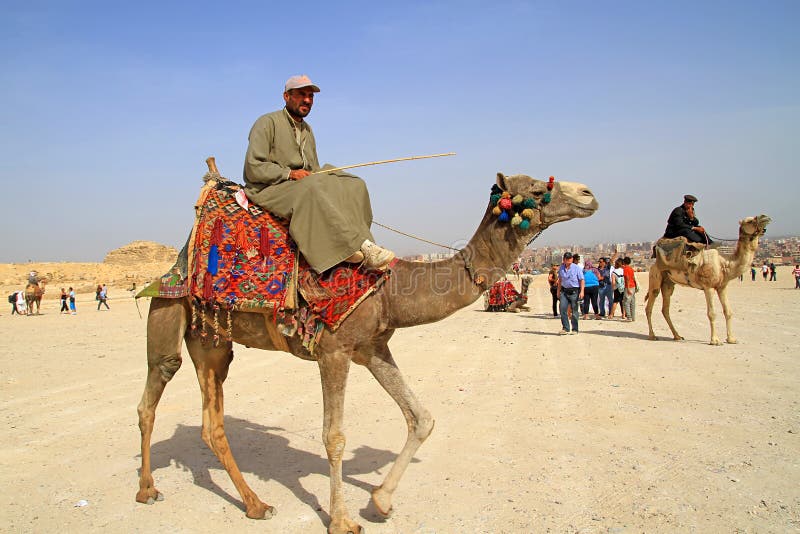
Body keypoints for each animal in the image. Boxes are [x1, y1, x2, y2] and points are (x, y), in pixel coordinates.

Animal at [135, 171, 598, 533]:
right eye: (537, 187)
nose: (588, 193)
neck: (390, 289)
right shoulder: (334, 351)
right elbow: (334, 437)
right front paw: (341, 520)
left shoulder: (373, 347)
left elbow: (421, 418)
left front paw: (380, 501)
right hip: (169, 310)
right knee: (152, 393)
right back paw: (147, 489)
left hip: (214, 342)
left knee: (212, 423)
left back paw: (256, 505)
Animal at [645, 214, 770, 346]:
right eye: (750, 221)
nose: (765, 218)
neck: (724, 263)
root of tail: (653, 263)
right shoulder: (708, 286)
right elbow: (712, 313)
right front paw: (715, 340)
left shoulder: (722, 287)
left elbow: (728, 312)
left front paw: (731, 339)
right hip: (655, 275)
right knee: (650, 305)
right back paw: (652, 335)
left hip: (668, 282)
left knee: (665, 308)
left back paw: (677, 336)